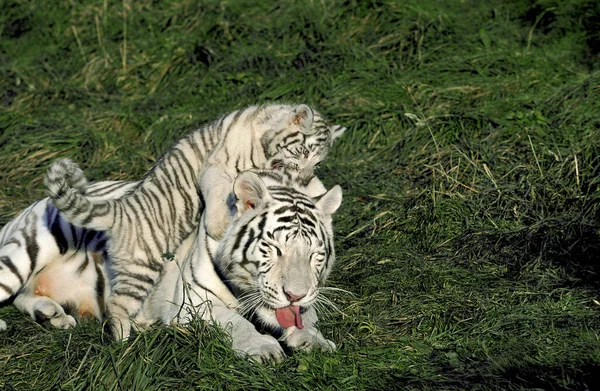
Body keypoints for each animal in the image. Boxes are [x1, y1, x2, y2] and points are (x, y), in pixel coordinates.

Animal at [44, 103, 344, 340]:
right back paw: (124, 342)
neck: (263, 137)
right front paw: (219, 228)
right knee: (117, 305)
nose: (306, 175)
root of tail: (120, 210)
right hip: (141, 268)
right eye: (303, 152)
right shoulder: (217, 165)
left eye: (318, 161)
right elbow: (218, 195)